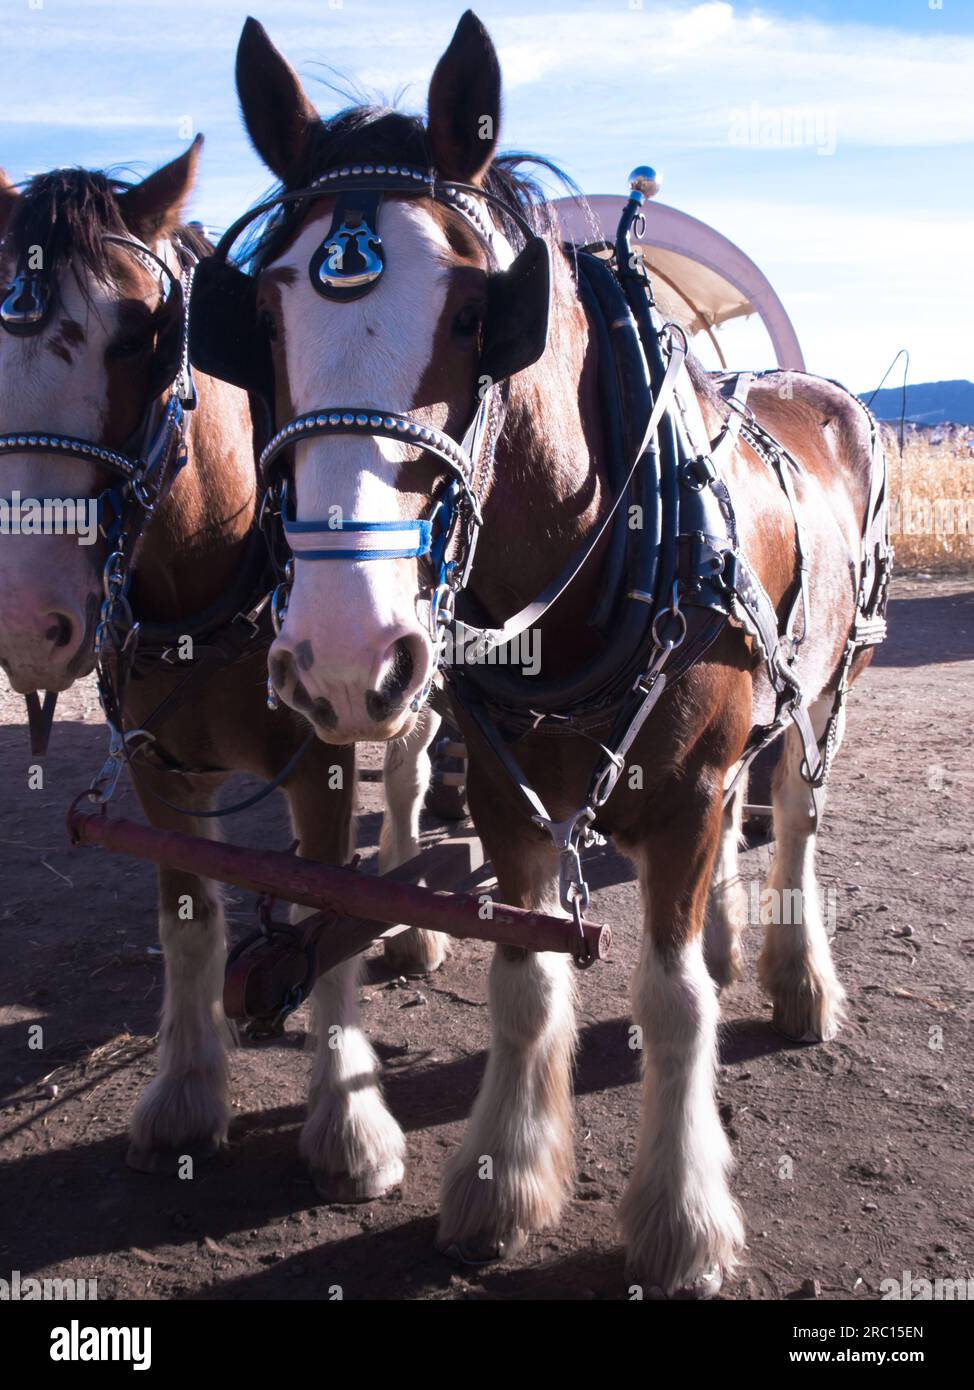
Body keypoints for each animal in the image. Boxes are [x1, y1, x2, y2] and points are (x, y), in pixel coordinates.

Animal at [0, 142, 437, 1198]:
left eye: (138, 339)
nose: (28, 620)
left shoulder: (325, 758)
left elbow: (332, 905)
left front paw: (348, 1126)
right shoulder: (159, 766)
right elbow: (190, 917)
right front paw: (187, 1096)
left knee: (410, 772)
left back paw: (415, 922)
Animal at [200, 11, 891, 1294]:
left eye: (477, 316)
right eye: (258, 322)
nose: (343, 654)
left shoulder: (685, 794)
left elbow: (670, 1002)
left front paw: (679, 1222)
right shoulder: (512, 794)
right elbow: (521, 983)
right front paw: (500, 1186)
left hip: (825, 690)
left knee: (791, 820)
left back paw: (791, 976)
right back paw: (728, 937)